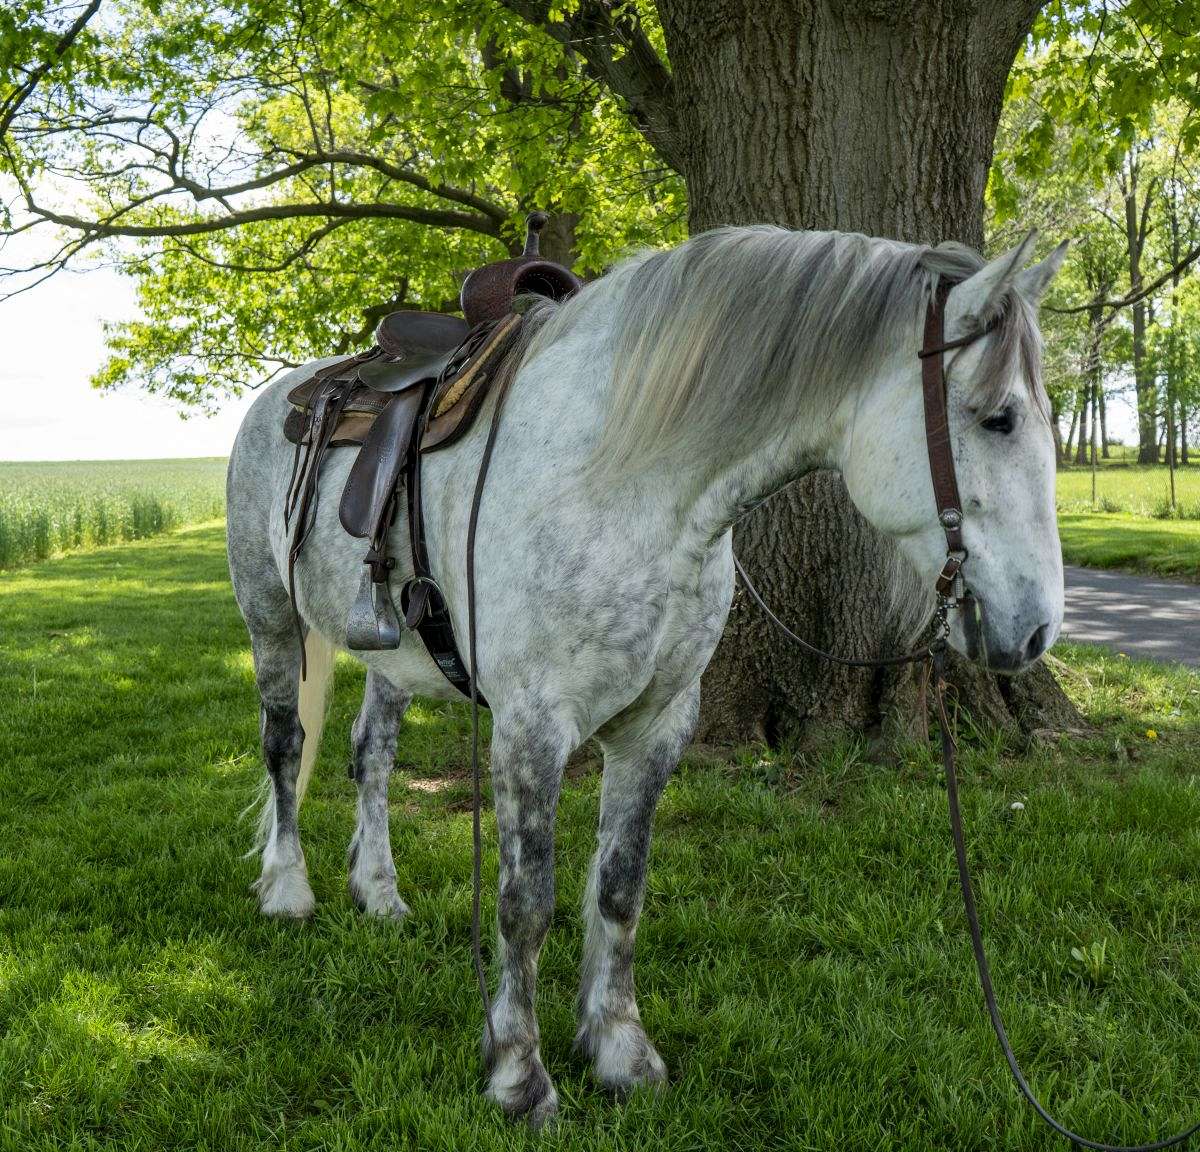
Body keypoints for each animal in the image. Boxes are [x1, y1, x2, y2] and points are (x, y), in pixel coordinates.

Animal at [226, 223, 1067, 1125]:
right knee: (285, 744)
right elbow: (526, 903)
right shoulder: (531, 726)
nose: (1037, 629)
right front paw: (519, 1073)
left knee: (370, 756)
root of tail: (284, 393)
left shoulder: (658, 725)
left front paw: (620, 1050)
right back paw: (287, 889)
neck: (623, 478)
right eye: (998, 418)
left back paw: (379, 893)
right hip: (271, 620)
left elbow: (620, 887)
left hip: (393, 657)